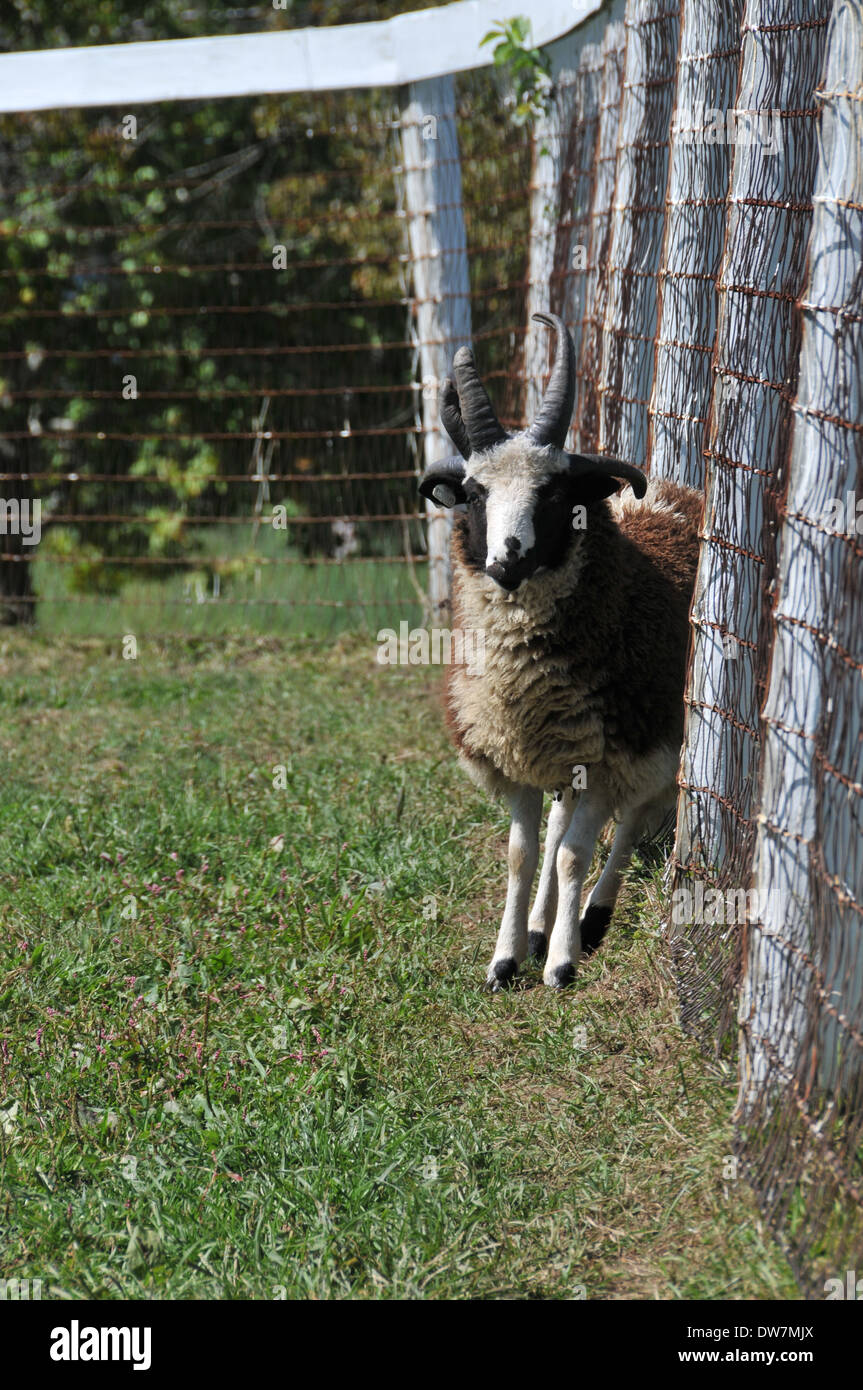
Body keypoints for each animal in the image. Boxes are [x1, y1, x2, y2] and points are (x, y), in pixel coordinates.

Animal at [419, 313, 701, 989]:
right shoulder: (517, 749)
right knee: (558, 827)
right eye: (473, 493)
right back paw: (542, 924)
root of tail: (674, 495)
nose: (506, 561)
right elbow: (525, 853)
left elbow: (576, 852)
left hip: (656, 734)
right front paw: (507, 955)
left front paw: (563, 962)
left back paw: (594, 917)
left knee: (635, 814)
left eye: (552, 492)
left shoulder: (612, 754)